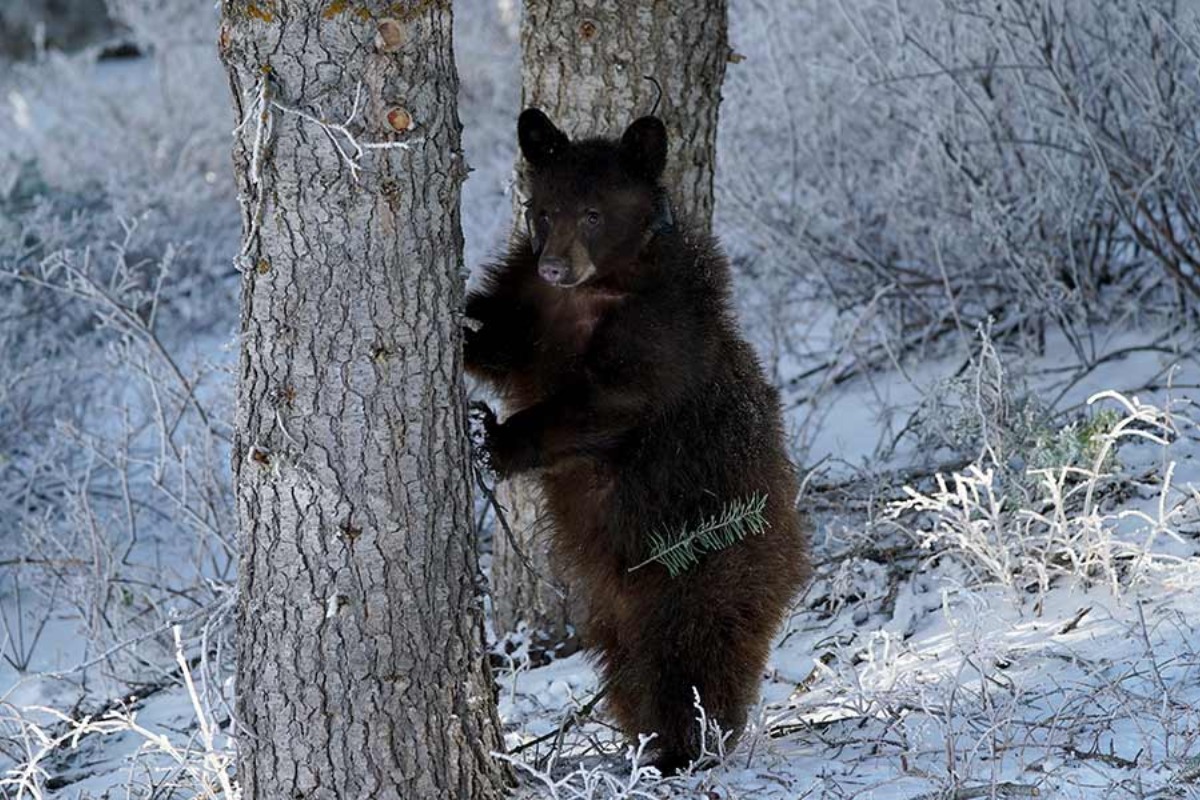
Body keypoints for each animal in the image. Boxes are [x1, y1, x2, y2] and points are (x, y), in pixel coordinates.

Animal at [465, 108, 811, 772]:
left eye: (593, 213)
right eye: (543, 210)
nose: (555, 266)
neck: (593, 290)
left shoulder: (661, 331)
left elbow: (607, 401)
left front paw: (492, 438)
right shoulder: (531, 305)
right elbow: (499, 339)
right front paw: (462, 326)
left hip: (702, 561)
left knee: (693, 655)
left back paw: (686, 746)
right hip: (611, 603)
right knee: (625, 663)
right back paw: (644, 738)